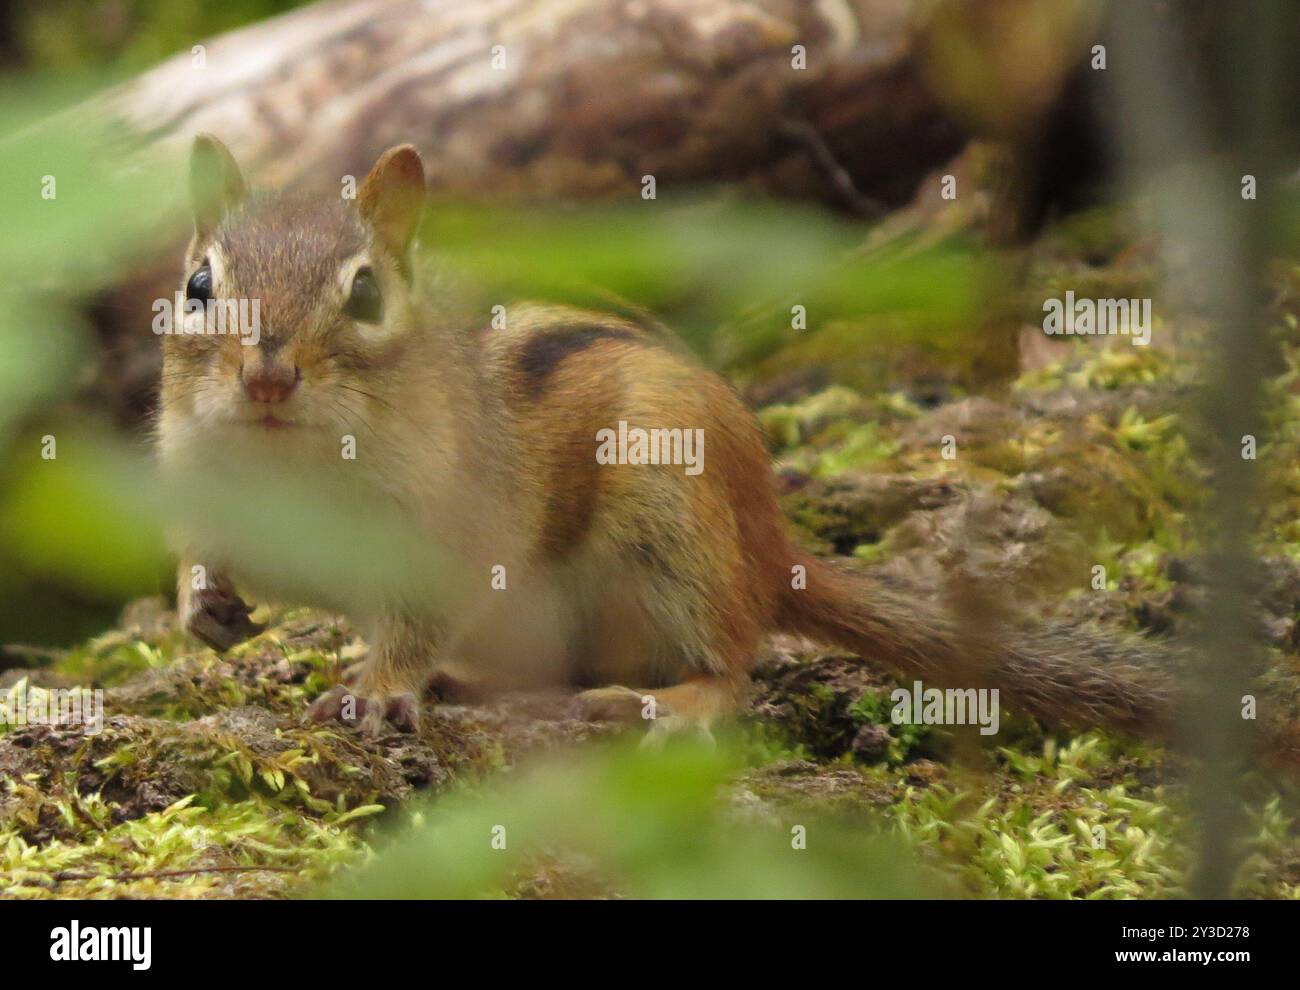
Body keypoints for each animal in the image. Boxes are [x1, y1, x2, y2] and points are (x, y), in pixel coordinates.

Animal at [158, 134, 1181, 740]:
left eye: (365, 296)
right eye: (199, 285)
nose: (267, 376)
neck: (286, 465)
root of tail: (770, 549)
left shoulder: (446, 536)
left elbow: (412, 621)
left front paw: (381, 689)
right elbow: (203, 558)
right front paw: (203, 606)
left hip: (671, 516)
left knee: (732, 668)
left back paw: (664, 701)